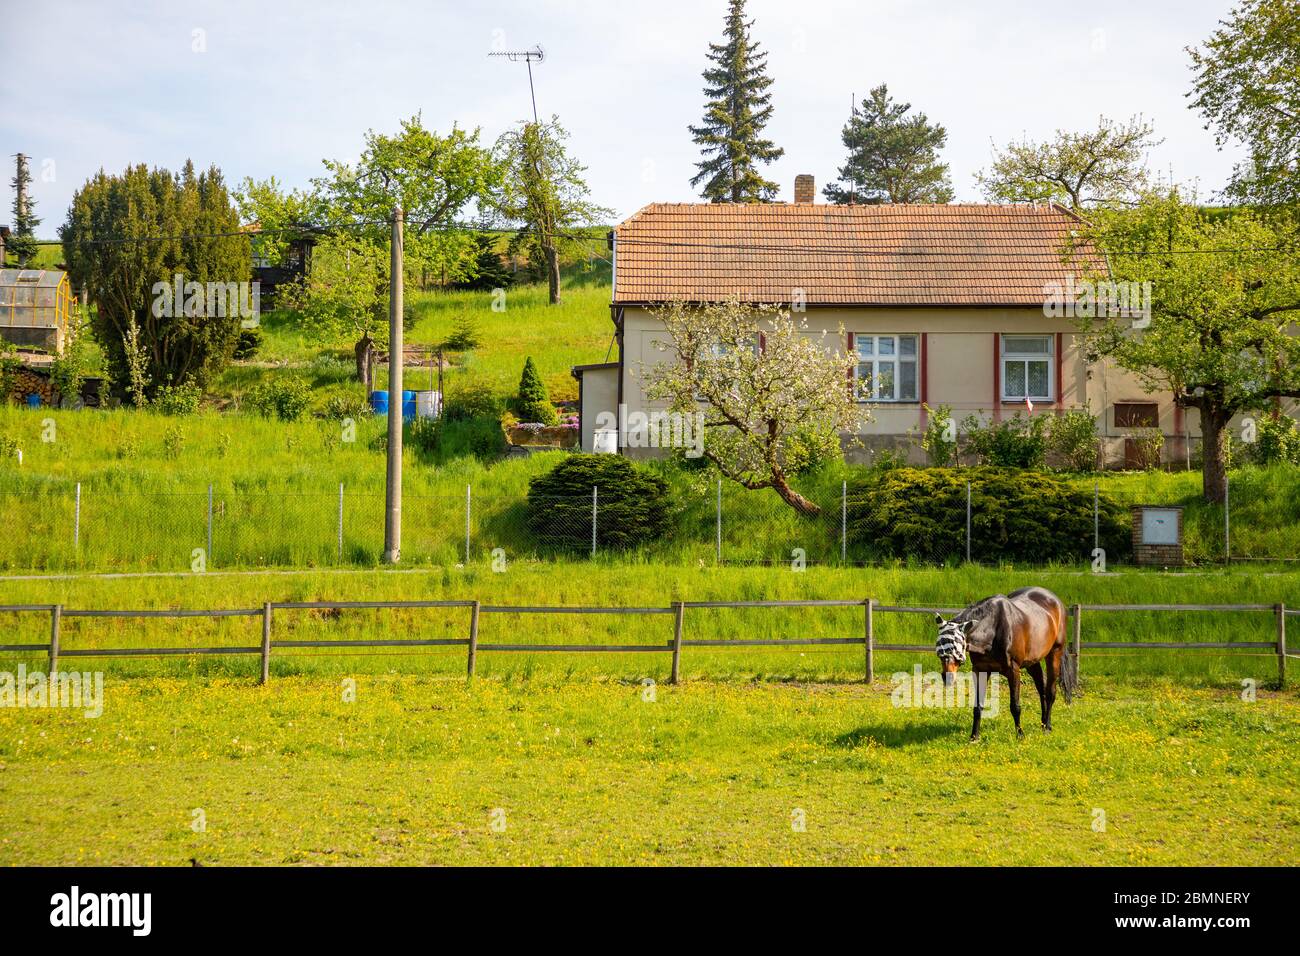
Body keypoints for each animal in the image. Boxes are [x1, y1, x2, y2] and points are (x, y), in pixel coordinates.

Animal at [933, 586, 1077, 741]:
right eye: (939, 649)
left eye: (954, 647)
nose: (947, 678)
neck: (992, 630)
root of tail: (1056, 601)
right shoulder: (980, 670)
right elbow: (978, 706)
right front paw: (974, 737)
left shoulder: (1013, 671)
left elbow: (1015, 706)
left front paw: (1020, 734)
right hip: (1032, 662)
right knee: (1042, 689)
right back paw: (1043, 723)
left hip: (1054, 653)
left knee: (1050, 691)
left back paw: (1048, 726)